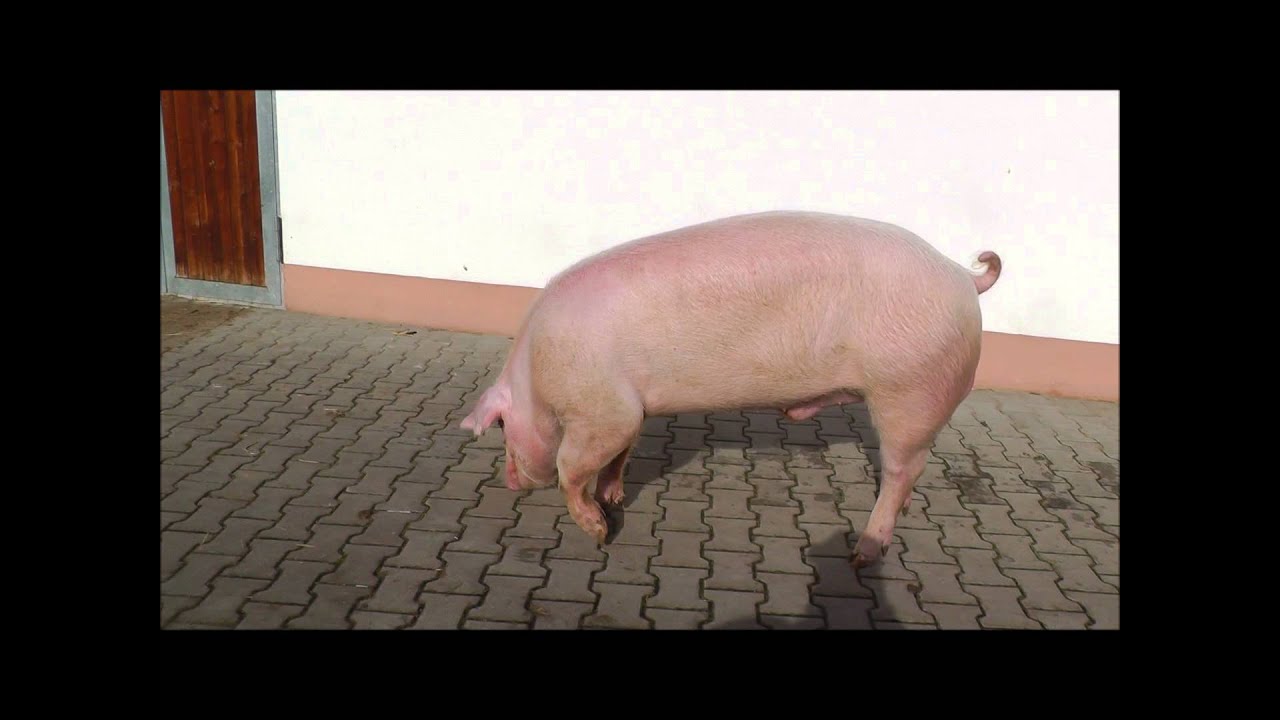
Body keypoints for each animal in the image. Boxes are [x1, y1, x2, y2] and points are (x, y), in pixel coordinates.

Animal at [460, 210, 1002, 569]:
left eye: (502, 426)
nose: (510, 482)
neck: (536, 374)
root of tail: (961, 275)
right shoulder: (632, 411)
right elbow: (622, 455)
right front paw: (614, 499)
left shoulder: (603, 410)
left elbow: (570, 468)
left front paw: (599, 532)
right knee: (913, 467)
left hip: (909, 389)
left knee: (901, 466)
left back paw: (864, 553)